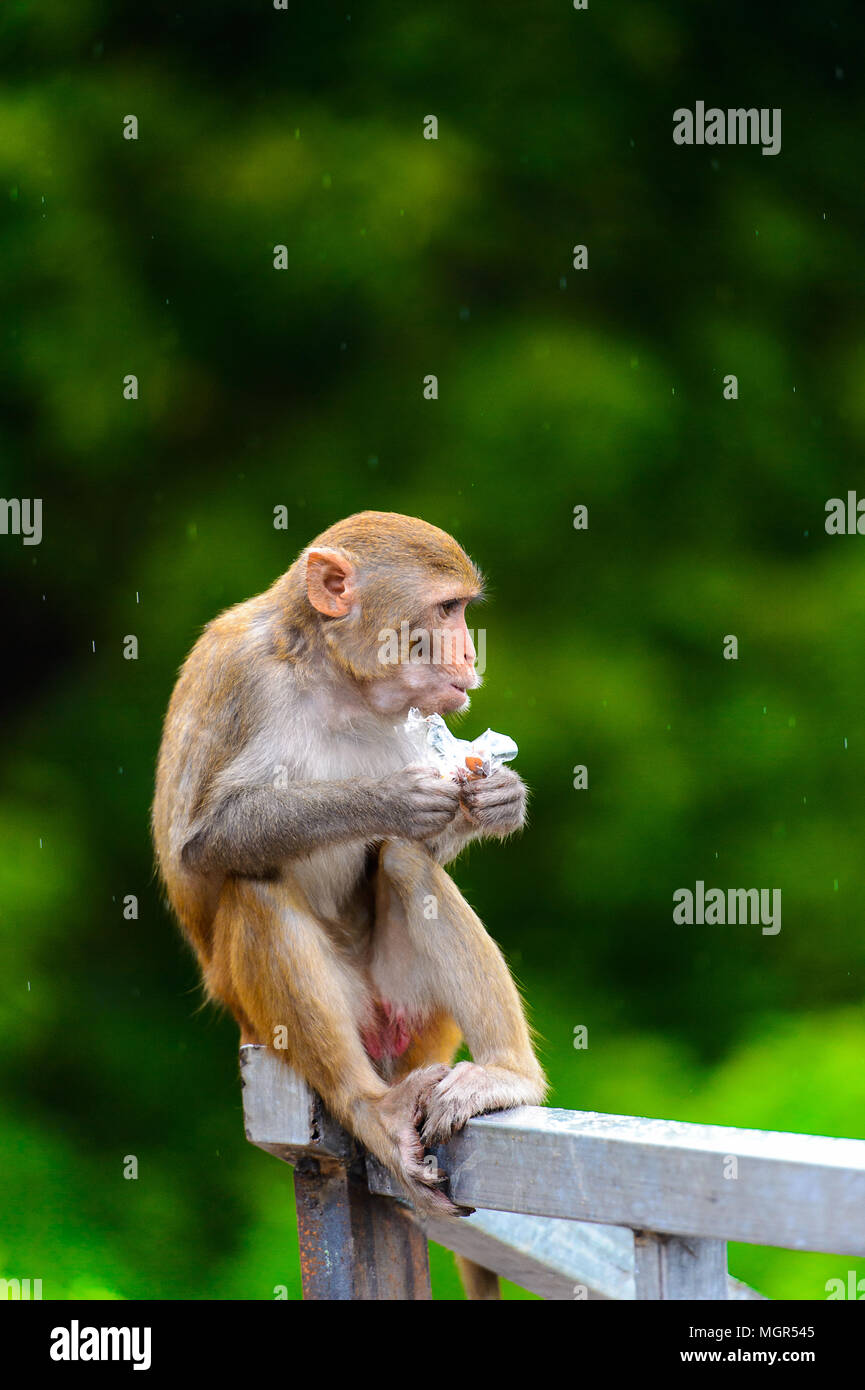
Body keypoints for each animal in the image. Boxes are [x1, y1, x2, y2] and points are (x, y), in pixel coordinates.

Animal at [152, 511, 547, 1297]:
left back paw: (506, 1075)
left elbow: (420, 846)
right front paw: (387, 798)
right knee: (254, 886)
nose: (467, 655)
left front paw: (497, 797)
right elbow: (197, 846)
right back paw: (369, 1105)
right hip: (271, 1016)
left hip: (414, 1010)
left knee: (401, 863)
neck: (332, 676)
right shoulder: (235, 676)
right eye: (446, 610)